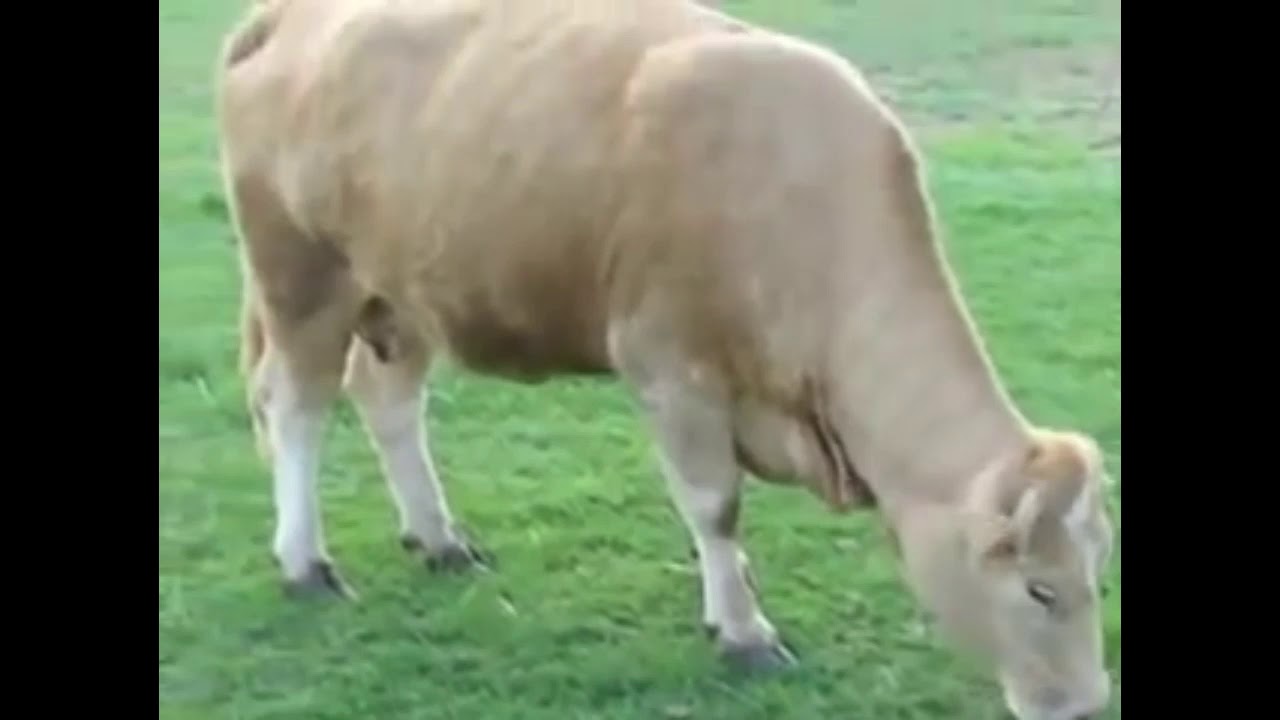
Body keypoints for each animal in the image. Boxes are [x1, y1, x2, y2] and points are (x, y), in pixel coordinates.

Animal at [213, 1, 1116, 718]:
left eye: (1099, 571)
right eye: (1039, 588)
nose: (1082, 706)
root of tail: (286, 15)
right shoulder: (669, 367)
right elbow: (715, 507)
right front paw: (744, 632)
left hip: (400, 290)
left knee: (390, 398)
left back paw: (438, 538)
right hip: (300, 275)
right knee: (296, 406)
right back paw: (305, 563)